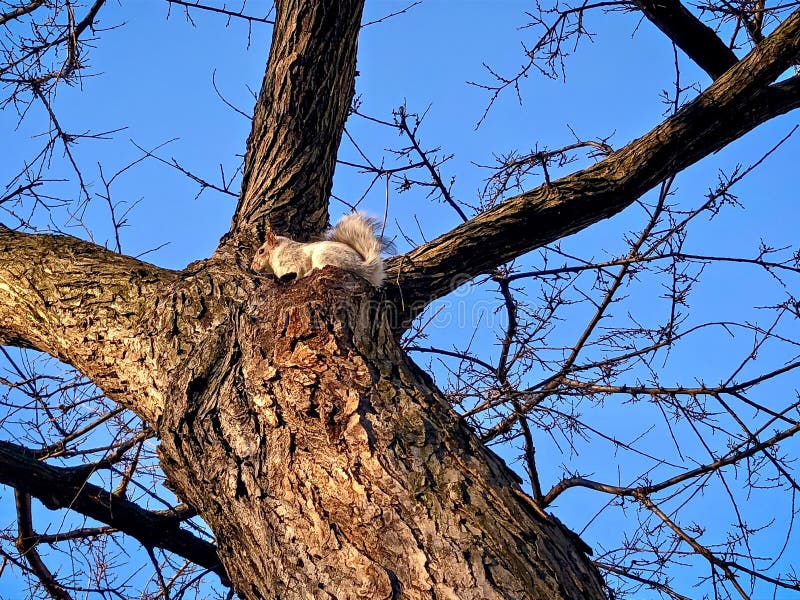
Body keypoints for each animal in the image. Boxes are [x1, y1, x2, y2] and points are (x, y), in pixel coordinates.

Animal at [251, 212, 392, 287]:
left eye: (261, 251)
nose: (253, 267)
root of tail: (364, 267)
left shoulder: (294, 260)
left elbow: (297, 270)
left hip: (325, 256)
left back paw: (310, 272)